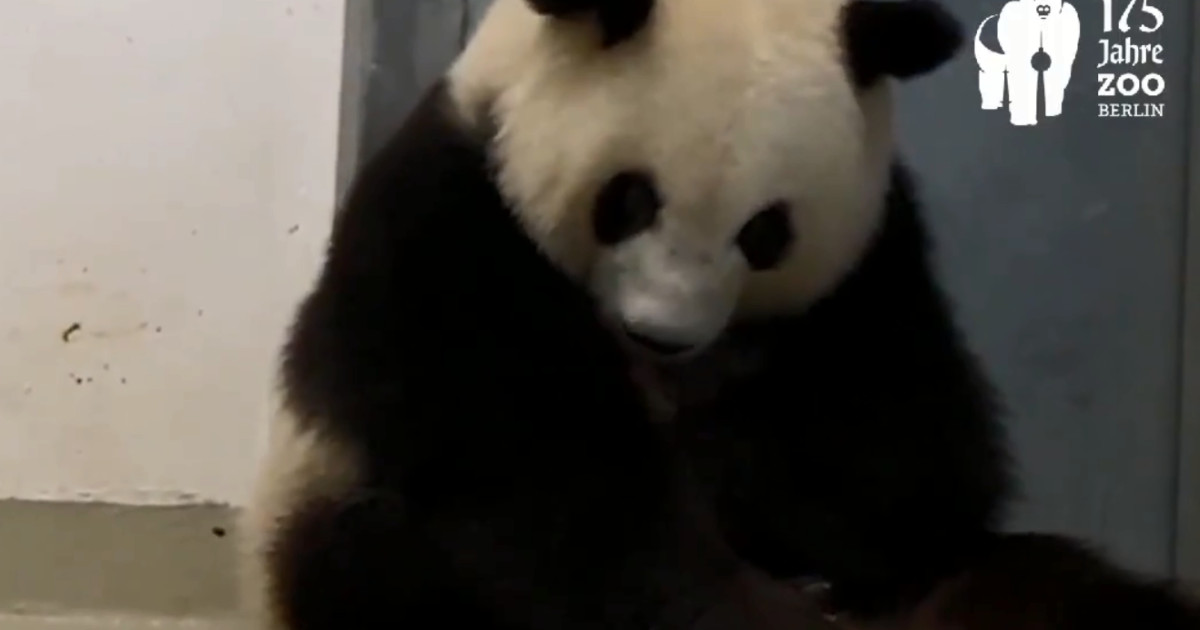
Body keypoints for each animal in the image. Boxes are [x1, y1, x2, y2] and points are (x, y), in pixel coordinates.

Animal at [237, 0, 1200, 629]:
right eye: (629, 199)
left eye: (765, 230)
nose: (661, 333)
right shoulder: (452, 231)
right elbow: (543, 491)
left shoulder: (872, 269)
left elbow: (912, 470)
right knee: (389, 564)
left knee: (1056, 589)